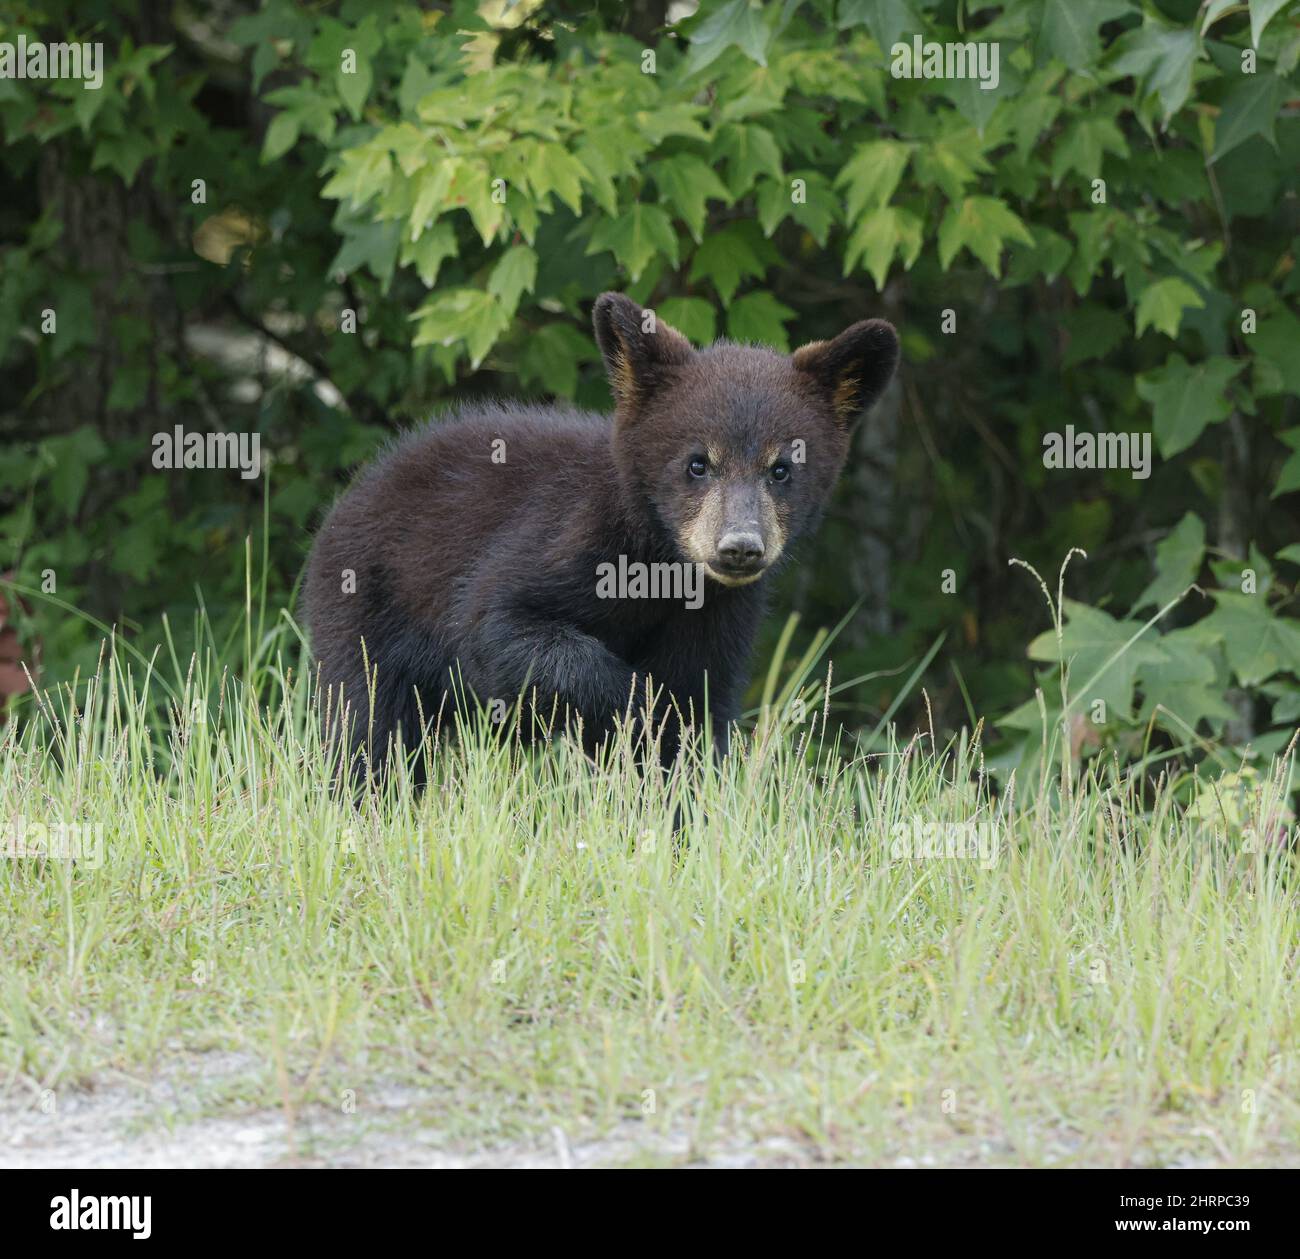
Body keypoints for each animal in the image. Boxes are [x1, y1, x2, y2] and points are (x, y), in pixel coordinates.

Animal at [303, 292, 899, 780]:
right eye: (697, 463)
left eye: (781, 469)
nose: (739, 547)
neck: (664, 567)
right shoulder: (561, 538)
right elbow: (496, 626)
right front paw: (638, 705)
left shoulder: (719, 615)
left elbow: (699, 705)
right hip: (366, 604)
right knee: (369, 726)